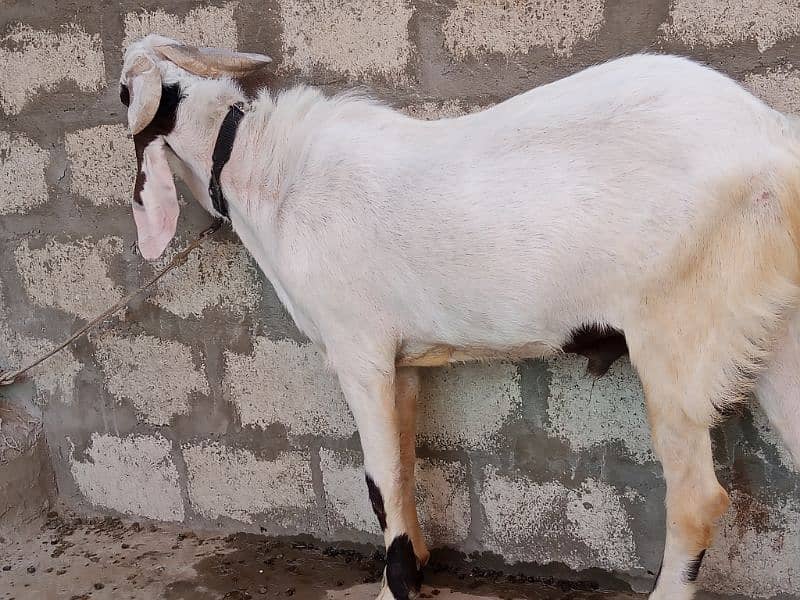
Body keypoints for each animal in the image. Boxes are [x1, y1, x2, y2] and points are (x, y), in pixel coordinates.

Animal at [119, 35, 800, 600]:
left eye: (125, 93)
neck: (261, 167)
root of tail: (773, 140)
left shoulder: (359, 350)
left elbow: (379, 480)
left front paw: (396, 586)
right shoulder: (402, 363)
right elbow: (400, 471)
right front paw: (416, 564)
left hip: (676, 326)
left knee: (696, 501)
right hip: (773, 327)